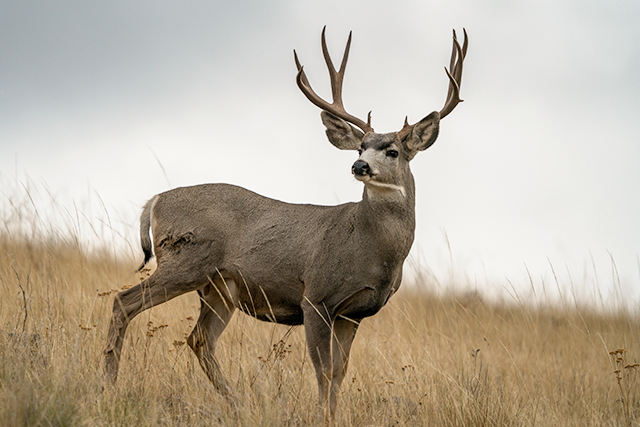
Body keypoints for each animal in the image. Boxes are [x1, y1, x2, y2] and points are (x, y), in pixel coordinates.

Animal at [103, 27, 467, 424]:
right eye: (360, 148)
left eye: (392, 151)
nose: (359, 167)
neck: (372, 250)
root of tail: (154, 201)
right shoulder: (317, 297)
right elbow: (323, 370)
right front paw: (323, 418)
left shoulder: (353, 313)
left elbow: (339, 373)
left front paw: (332, 417)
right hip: (186, 261)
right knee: (124, 302)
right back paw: (107, 386)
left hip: (219, 288)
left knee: (199, 339)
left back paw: (237, 405)